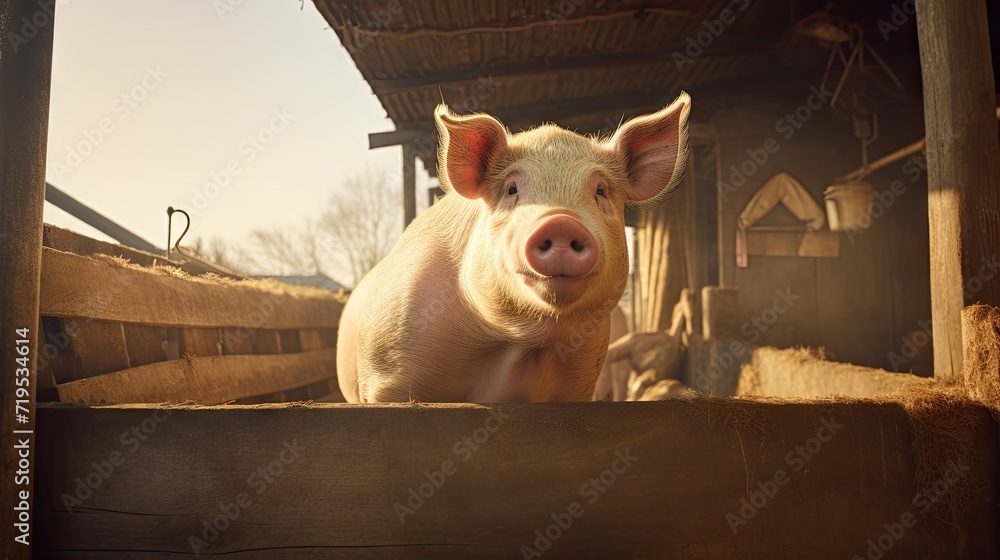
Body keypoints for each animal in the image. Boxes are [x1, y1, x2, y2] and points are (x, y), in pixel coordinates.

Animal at [337, 93, 691, 403]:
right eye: (511, 188)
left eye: (601, 190)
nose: (560, 221)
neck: (523, 344)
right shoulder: (386, 377)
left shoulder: (579, 385)